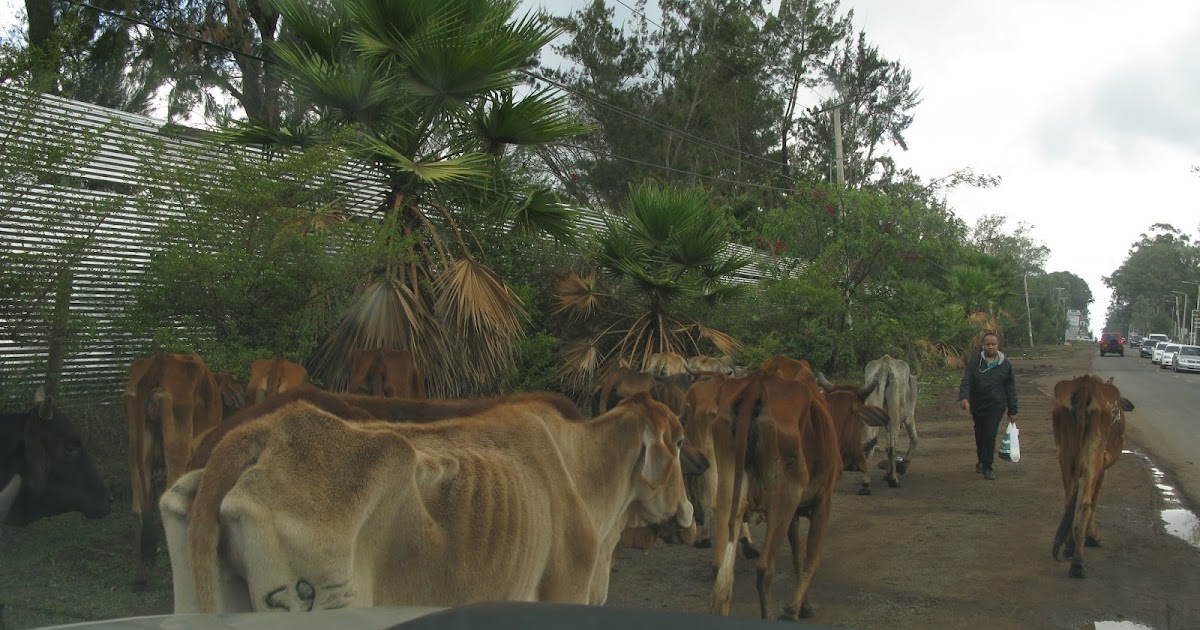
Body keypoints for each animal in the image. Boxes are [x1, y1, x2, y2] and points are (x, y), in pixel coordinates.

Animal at [709, 368, 842, 620]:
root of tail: (756, 384)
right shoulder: (823, 502)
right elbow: (811, 559)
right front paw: (794, 608)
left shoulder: (796, 513)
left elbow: (798, 554)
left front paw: (804, 606)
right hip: (783, 499)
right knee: (764, 569)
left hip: (730, 487)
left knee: (722, 568)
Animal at [862, 354, 919, 490]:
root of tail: (885, 365)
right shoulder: (909, 415)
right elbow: (914, 439)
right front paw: (903, 466)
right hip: (895, 417)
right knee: (892, 446)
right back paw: (893, 479)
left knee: (870, 444)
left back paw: (866, 483)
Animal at [1050, 375, 1133, 579]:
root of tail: (1084, 387)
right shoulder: (1102, 468)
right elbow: (1095, 501)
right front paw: (1092, 537)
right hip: (1093, 459)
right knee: (1086, 503)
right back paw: (1078, 563)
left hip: (1065, 456)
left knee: (1069, 500)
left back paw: (1070, 547)